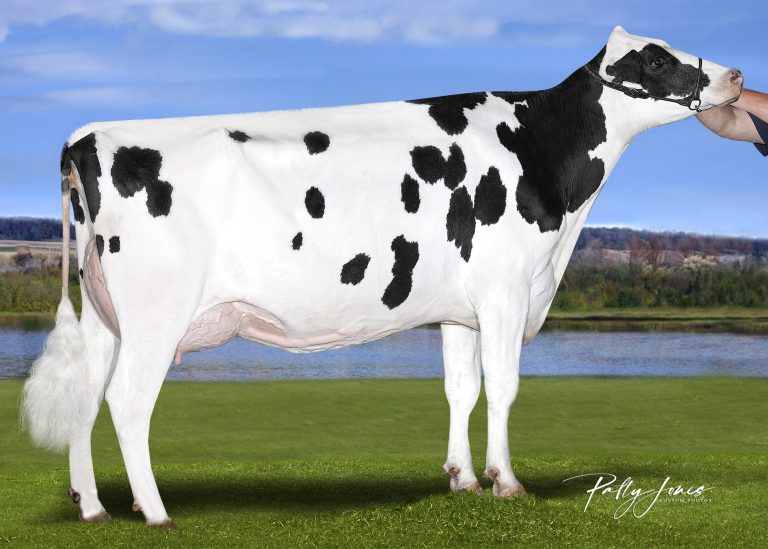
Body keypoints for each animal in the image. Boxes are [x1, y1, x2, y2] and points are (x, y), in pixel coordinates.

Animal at [21, 26, 743, 528]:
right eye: (658, 59)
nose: (736, 74)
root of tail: (86, 138)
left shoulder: (460, 308)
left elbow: (462, 389)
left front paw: (461, 478)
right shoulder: (506, 290)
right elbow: (504, 387)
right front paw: (506, 482)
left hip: (106, 315)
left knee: (86, 397)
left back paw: (93, 507)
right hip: (155, 316)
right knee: (126, 402)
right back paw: (156, 512)